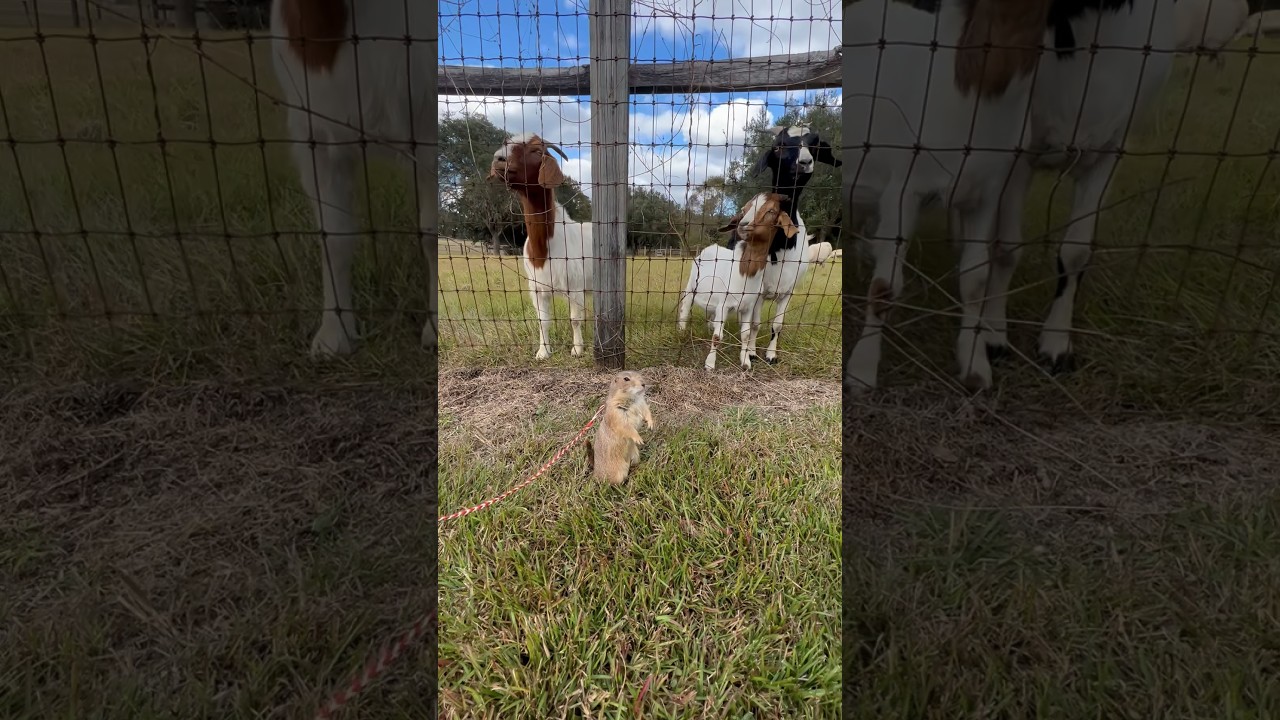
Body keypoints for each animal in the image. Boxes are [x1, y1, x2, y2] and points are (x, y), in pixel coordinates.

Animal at [269, 0, 437, 357]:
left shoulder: (428, 133)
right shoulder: (315, 134)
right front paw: (334, 332)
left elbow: (432, 233)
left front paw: (435, 327)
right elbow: (334, 236)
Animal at [488, 133, 594, 361]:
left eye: (537, 151)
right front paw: (543, 351)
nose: (499, 159)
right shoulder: (536, 288)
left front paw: (577, 349)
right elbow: (543, 321)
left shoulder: (575, 284)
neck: (544, 249)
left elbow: (575, 320)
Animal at [845, 0, 1051, 393]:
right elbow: (885, 286)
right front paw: (861, 371)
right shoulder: (904, 188)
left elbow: (976, 279)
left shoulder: (985, 193)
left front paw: (974, 366)